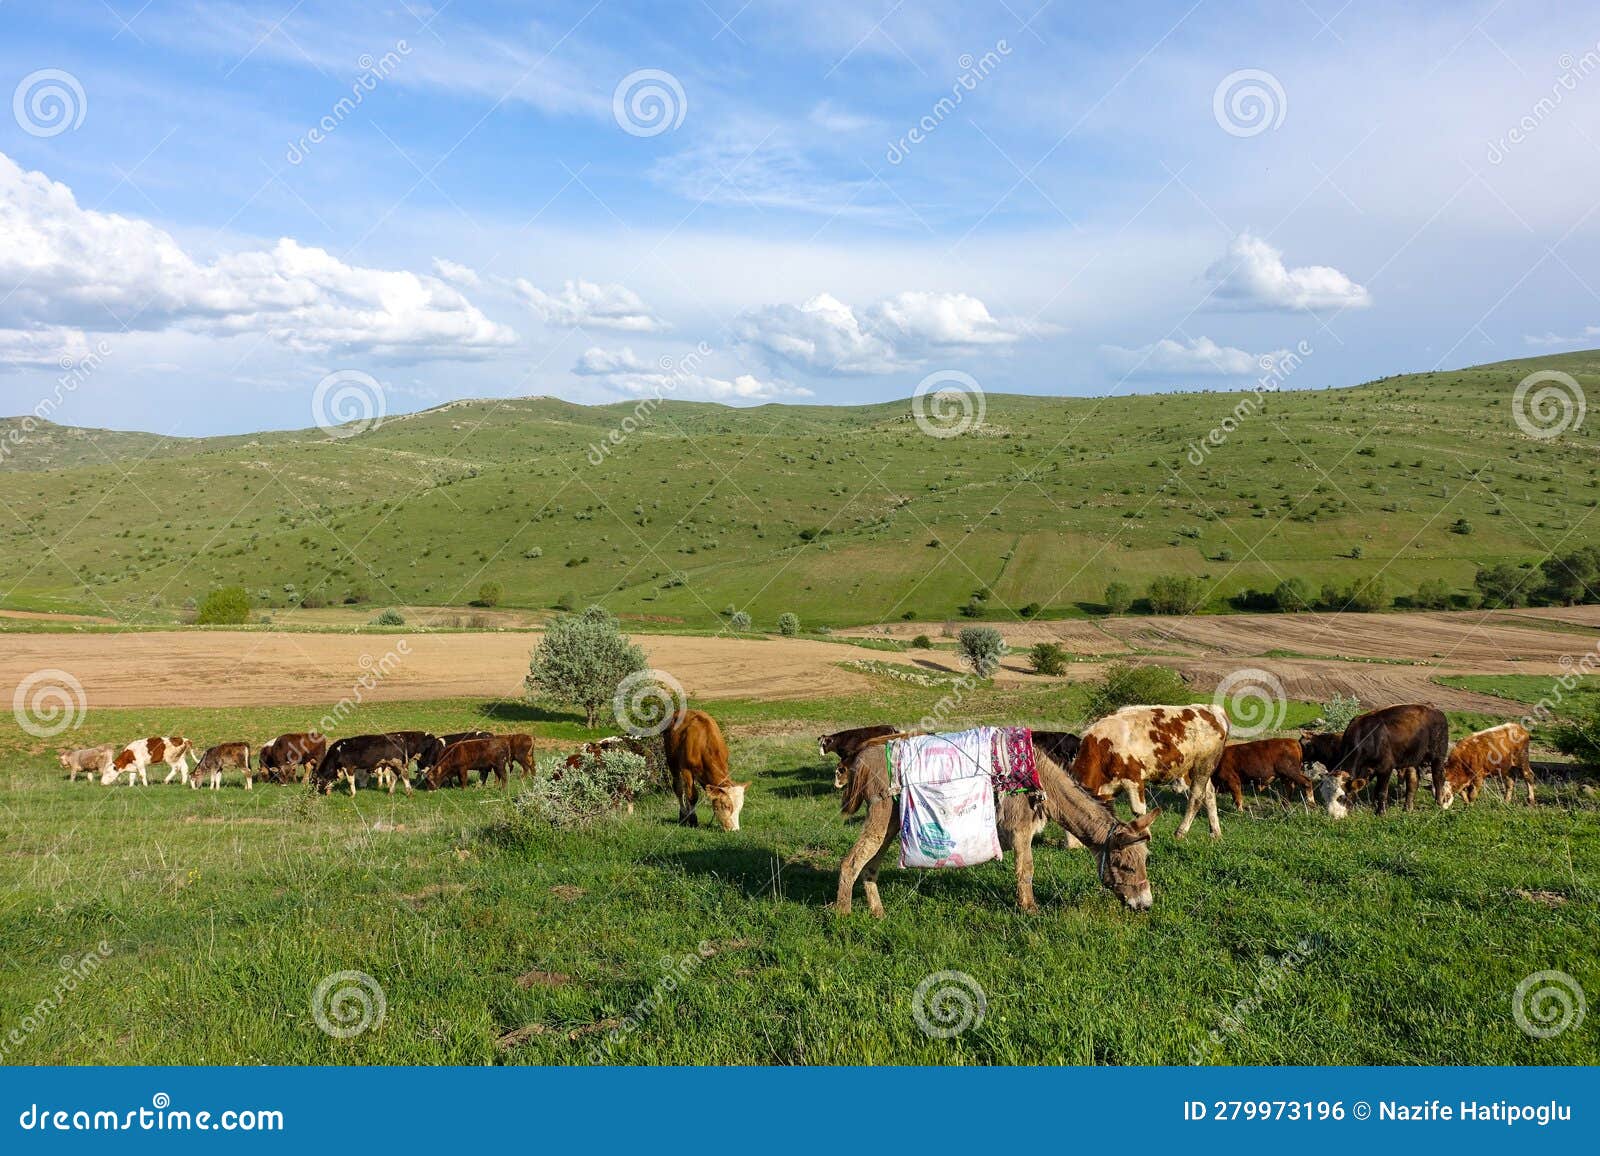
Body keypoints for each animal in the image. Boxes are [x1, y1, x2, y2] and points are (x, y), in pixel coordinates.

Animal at [1068, 704, 1229, 838]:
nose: (1072, 848)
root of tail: (1210, 709)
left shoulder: (1133, 779)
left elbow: (1138, 811)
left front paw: (1144, 836)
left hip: (1203, 765)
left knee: (1196, 797)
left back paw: (1180, 832)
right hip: (1201, 769)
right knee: (1209, 794)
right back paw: (1215, 833)